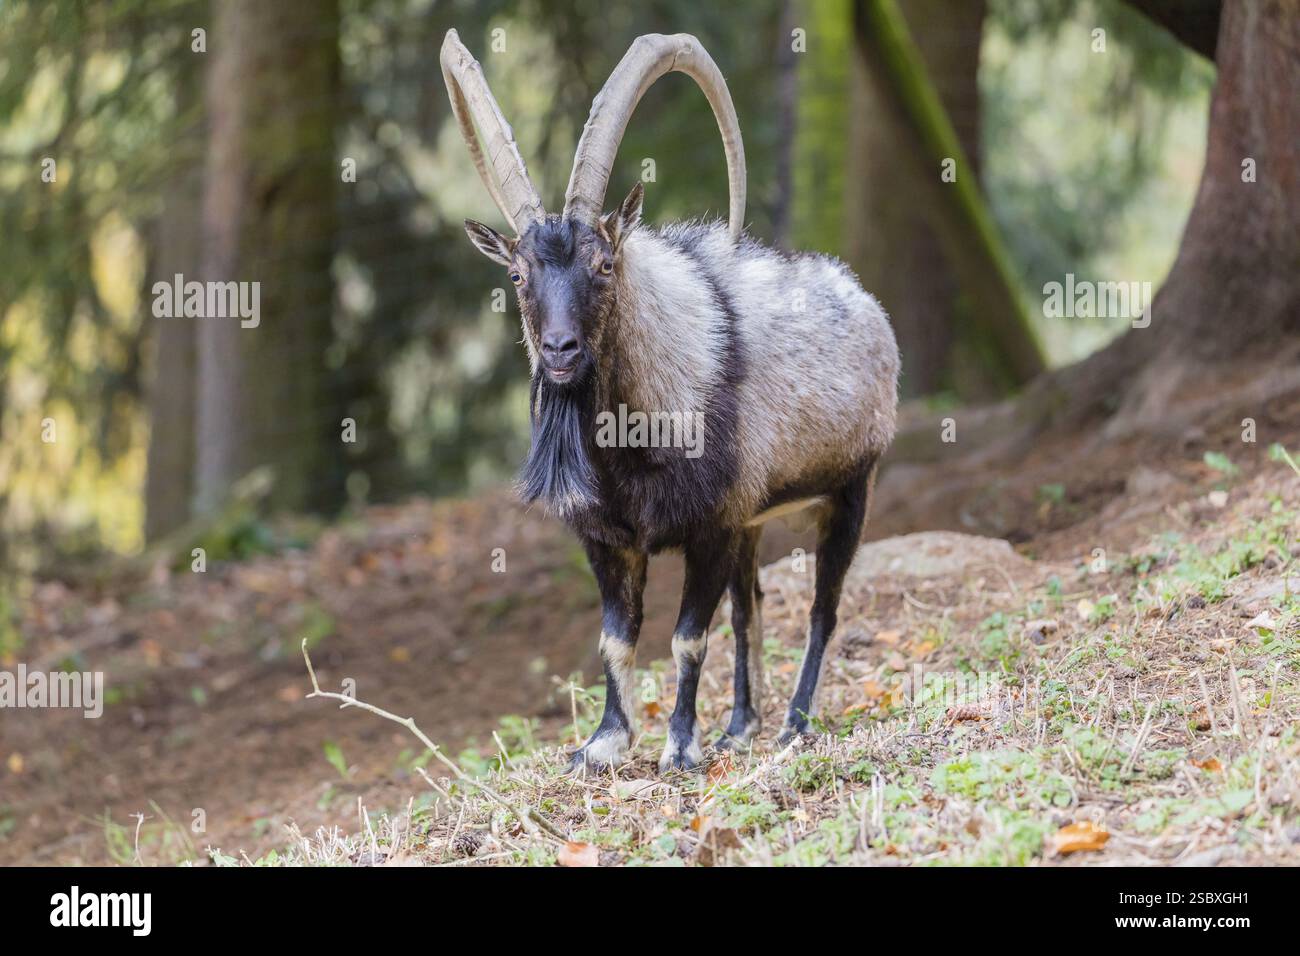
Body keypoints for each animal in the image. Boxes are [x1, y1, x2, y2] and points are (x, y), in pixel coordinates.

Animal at [442, 30, 899, 772]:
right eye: (516, 274)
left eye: (604, 263)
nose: (561, 352)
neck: (632, 442)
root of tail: (863, 301)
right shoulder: (611, 539)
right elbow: (617, 638)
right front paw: (603, 743)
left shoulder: (710, 527)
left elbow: (687, 636)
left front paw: (679, 747)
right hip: (754, 522)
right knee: (751, 606)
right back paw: (741, 724)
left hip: (852, 487)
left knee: (821, 607)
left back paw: (794, 724)